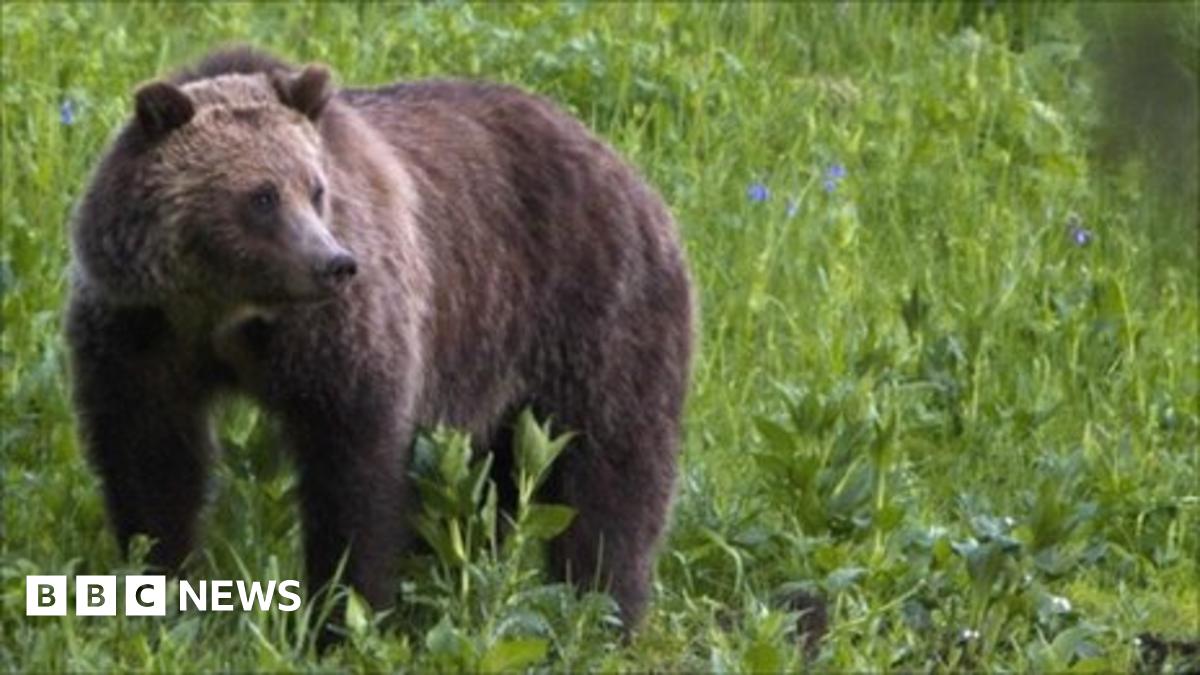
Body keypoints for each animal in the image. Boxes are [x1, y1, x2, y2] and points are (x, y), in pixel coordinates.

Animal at [66, 46, 694, 630]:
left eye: (316, 189)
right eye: (262, 196)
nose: (334, 263)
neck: (227, 310)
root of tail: (626, 169)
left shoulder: (338, 337)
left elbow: (353, 472)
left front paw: (341, 614)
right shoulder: (141, 332)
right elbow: (150, 458)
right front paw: (161, 585)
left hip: (593, 314)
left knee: (611, 474)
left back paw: (602, 612)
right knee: (491, 486)